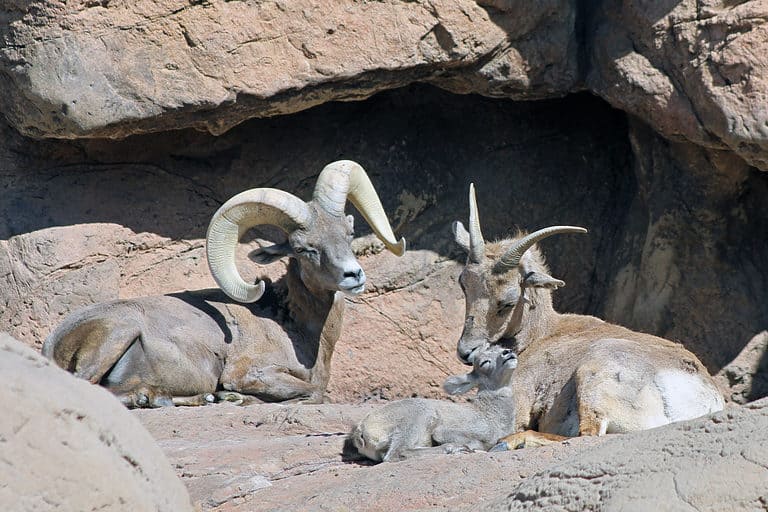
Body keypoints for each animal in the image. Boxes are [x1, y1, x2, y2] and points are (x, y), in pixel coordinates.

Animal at [42, 160, 405, 408]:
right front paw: (236, 398)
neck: (297, 327)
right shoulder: (249, 373)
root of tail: (53, 341)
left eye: (348, 233)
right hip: (121, 329)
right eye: (305, 248)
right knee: (89, 386)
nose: (353, 275)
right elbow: (314, 392)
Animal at [350, 344, 519, 462]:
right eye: (484, 363)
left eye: (501, 348)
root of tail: (362, 430)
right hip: (418, 418)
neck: (490, 415)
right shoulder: (444, 431)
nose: (508, 352)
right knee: (397, 453)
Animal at [451, 184, 724, 448]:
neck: (541, 335)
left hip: (593, 375)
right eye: (464, 284)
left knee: (587, 435)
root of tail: (702, 398)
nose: (466, 352)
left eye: (507, 302)